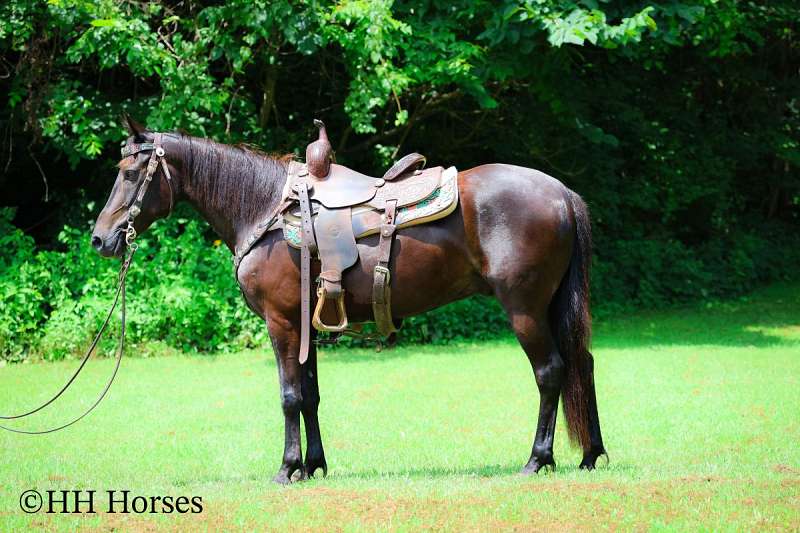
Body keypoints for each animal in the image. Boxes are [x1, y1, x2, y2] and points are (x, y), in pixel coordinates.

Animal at [92, 116, 606, 484]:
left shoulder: (281, 324)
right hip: (551, 308)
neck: (264, 209)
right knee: (581, 364)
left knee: (551, 372)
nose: (100, 239)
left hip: (525, 309)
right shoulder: (306, 326)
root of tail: (560, 191)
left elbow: (288, 396)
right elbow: (310, 395)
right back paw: (590, 455)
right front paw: (313, 466)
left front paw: (287, 469)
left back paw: (538, 459)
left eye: (131, 173)